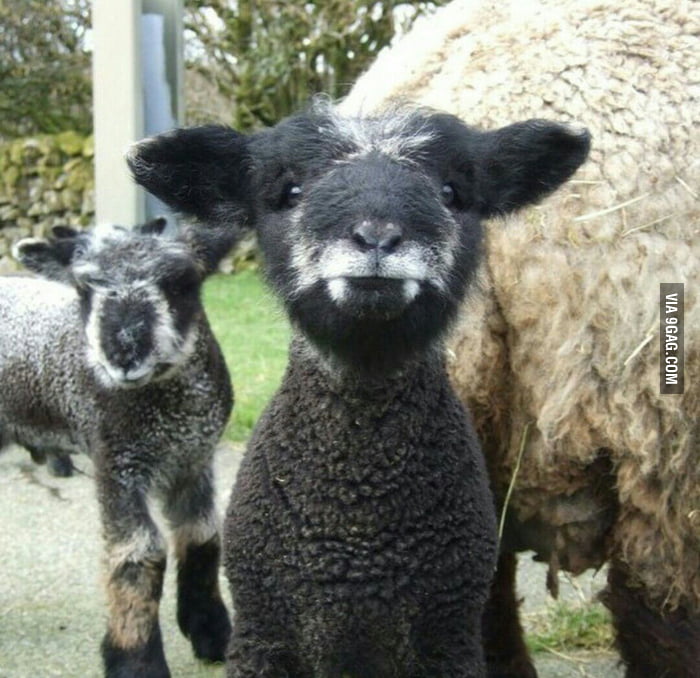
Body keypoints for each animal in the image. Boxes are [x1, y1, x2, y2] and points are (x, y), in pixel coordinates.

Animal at [1, 218, 236, 677]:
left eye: (182, 284)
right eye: (83, 289)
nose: (124, 353)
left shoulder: (193, 460)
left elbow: (202, 536)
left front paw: (212, 633)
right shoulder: (116, 462)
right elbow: (139, 554)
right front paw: (136, 660)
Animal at [127, 98, 590, 677]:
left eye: (452, 193)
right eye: (290, 191)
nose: (376, 237)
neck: (359, 525)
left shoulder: (450, 638)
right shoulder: (263, 634)